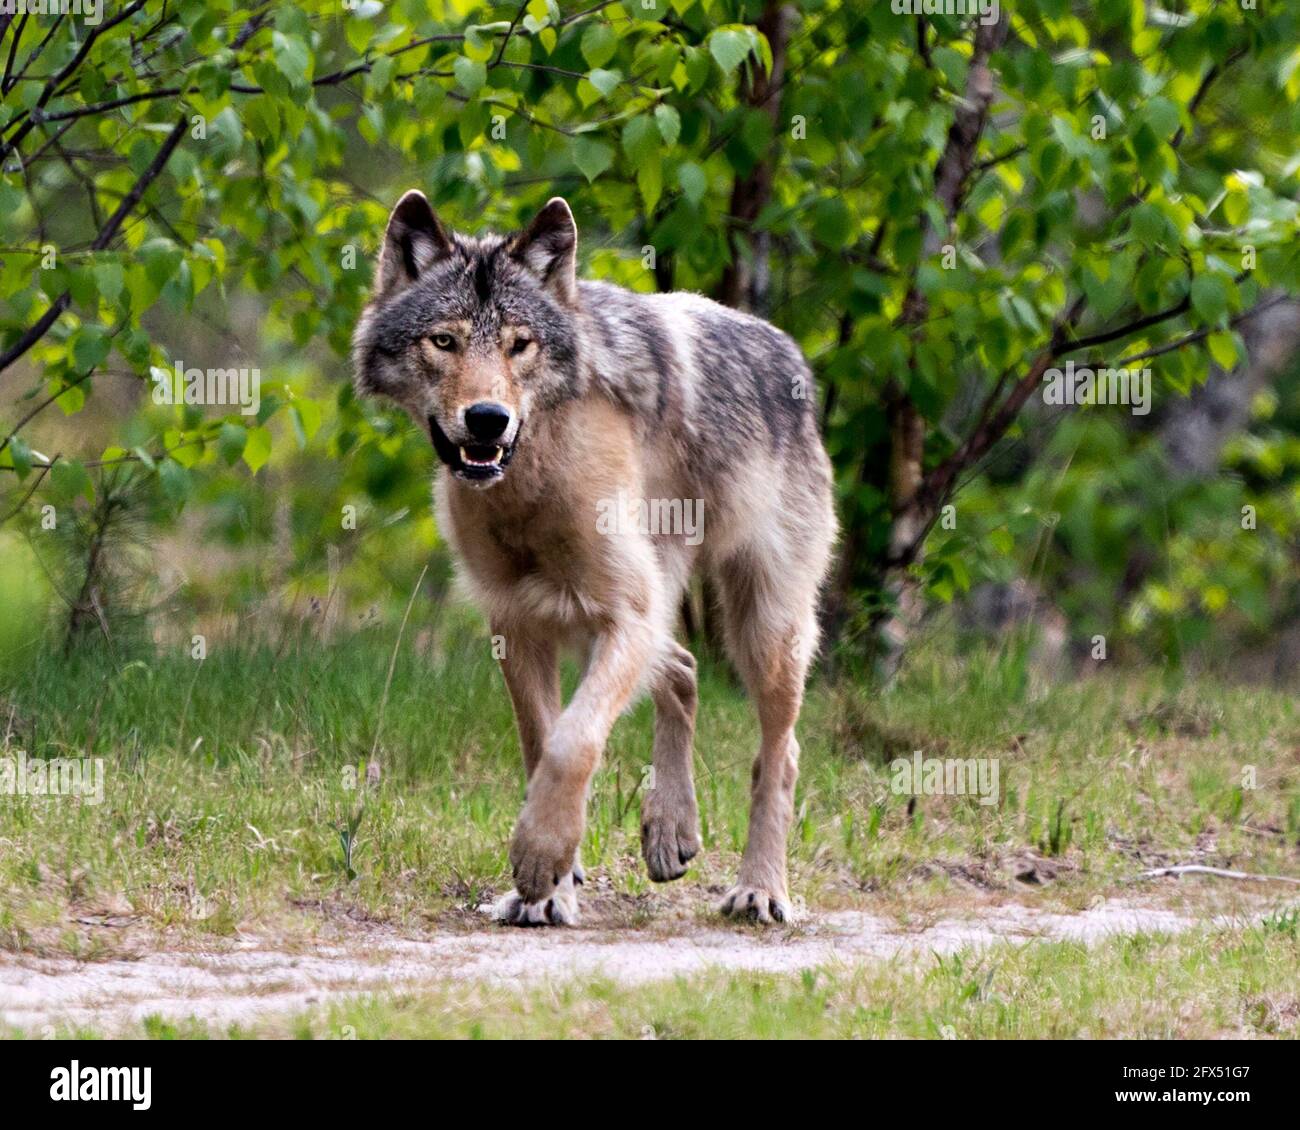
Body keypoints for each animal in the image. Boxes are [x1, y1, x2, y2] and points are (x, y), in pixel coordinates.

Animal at [352, 192, 836, 926]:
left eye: (519, 344)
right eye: (444, 341)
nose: (488, 419)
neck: (531, 479)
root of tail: (792, 355)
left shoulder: (623, 616)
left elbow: (571, 743)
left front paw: (540, 860)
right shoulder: (517, 621)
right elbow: (539, 742)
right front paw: (551, 887)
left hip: (761, 625)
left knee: (778, 756)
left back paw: (760, 888)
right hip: (635, 609)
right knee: (684, 668)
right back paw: (670, 832)